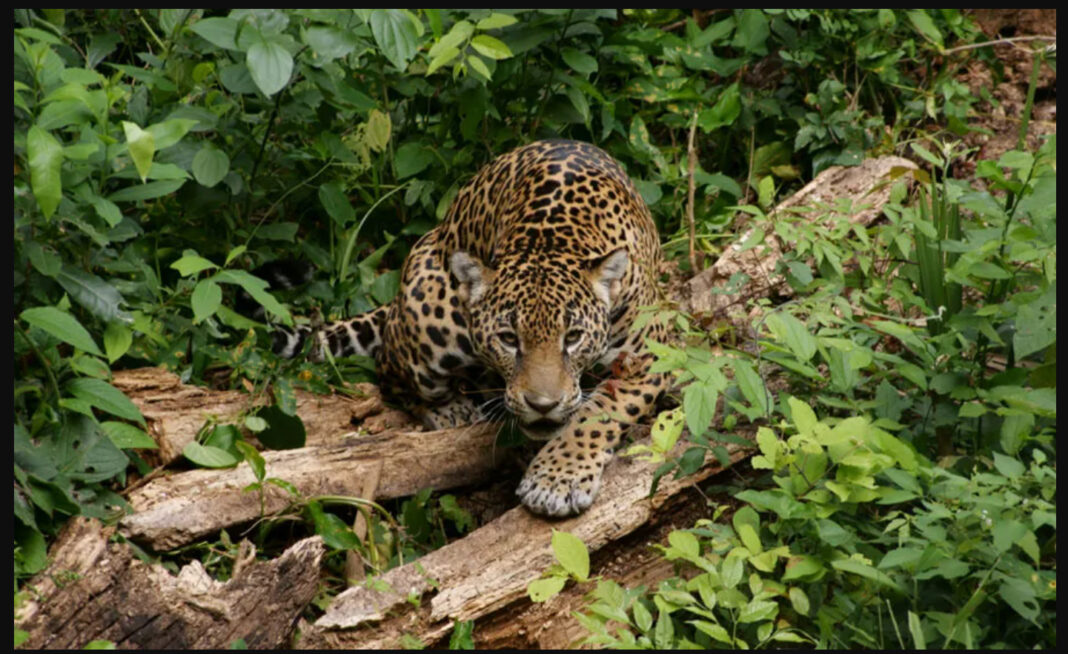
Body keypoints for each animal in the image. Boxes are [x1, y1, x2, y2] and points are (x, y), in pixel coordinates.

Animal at [275, 139, 669, 517]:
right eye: (509, 339)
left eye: (572, 338)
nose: (542, 405)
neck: (554, 241)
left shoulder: (650, 356)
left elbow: (596, 414)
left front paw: (555, 479)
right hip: (432, 315)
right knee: (389, 365)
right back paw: (449, 410)